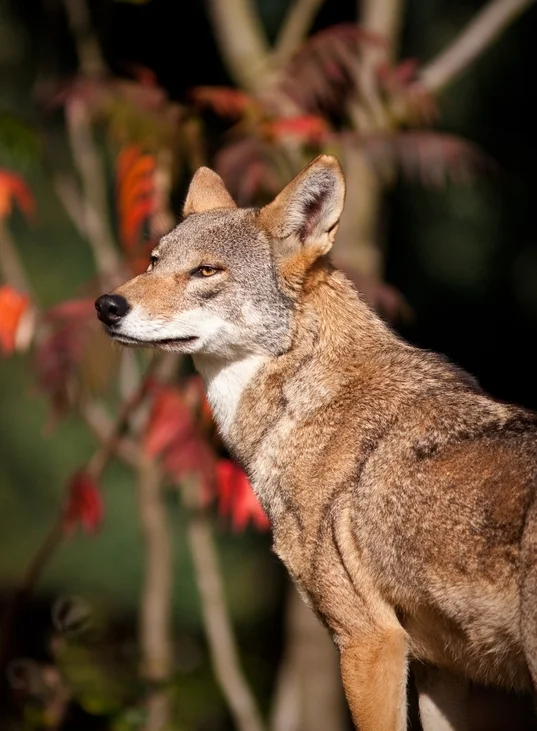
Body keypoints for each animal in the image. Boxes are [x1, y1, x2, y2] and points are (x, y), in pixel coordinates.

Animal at [96, 155, 537, 731]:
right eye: (153, 261)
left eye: (207, 271)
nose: (107, 304)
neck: (303, 400)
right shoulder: (445, 670)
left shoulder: (369, 641)